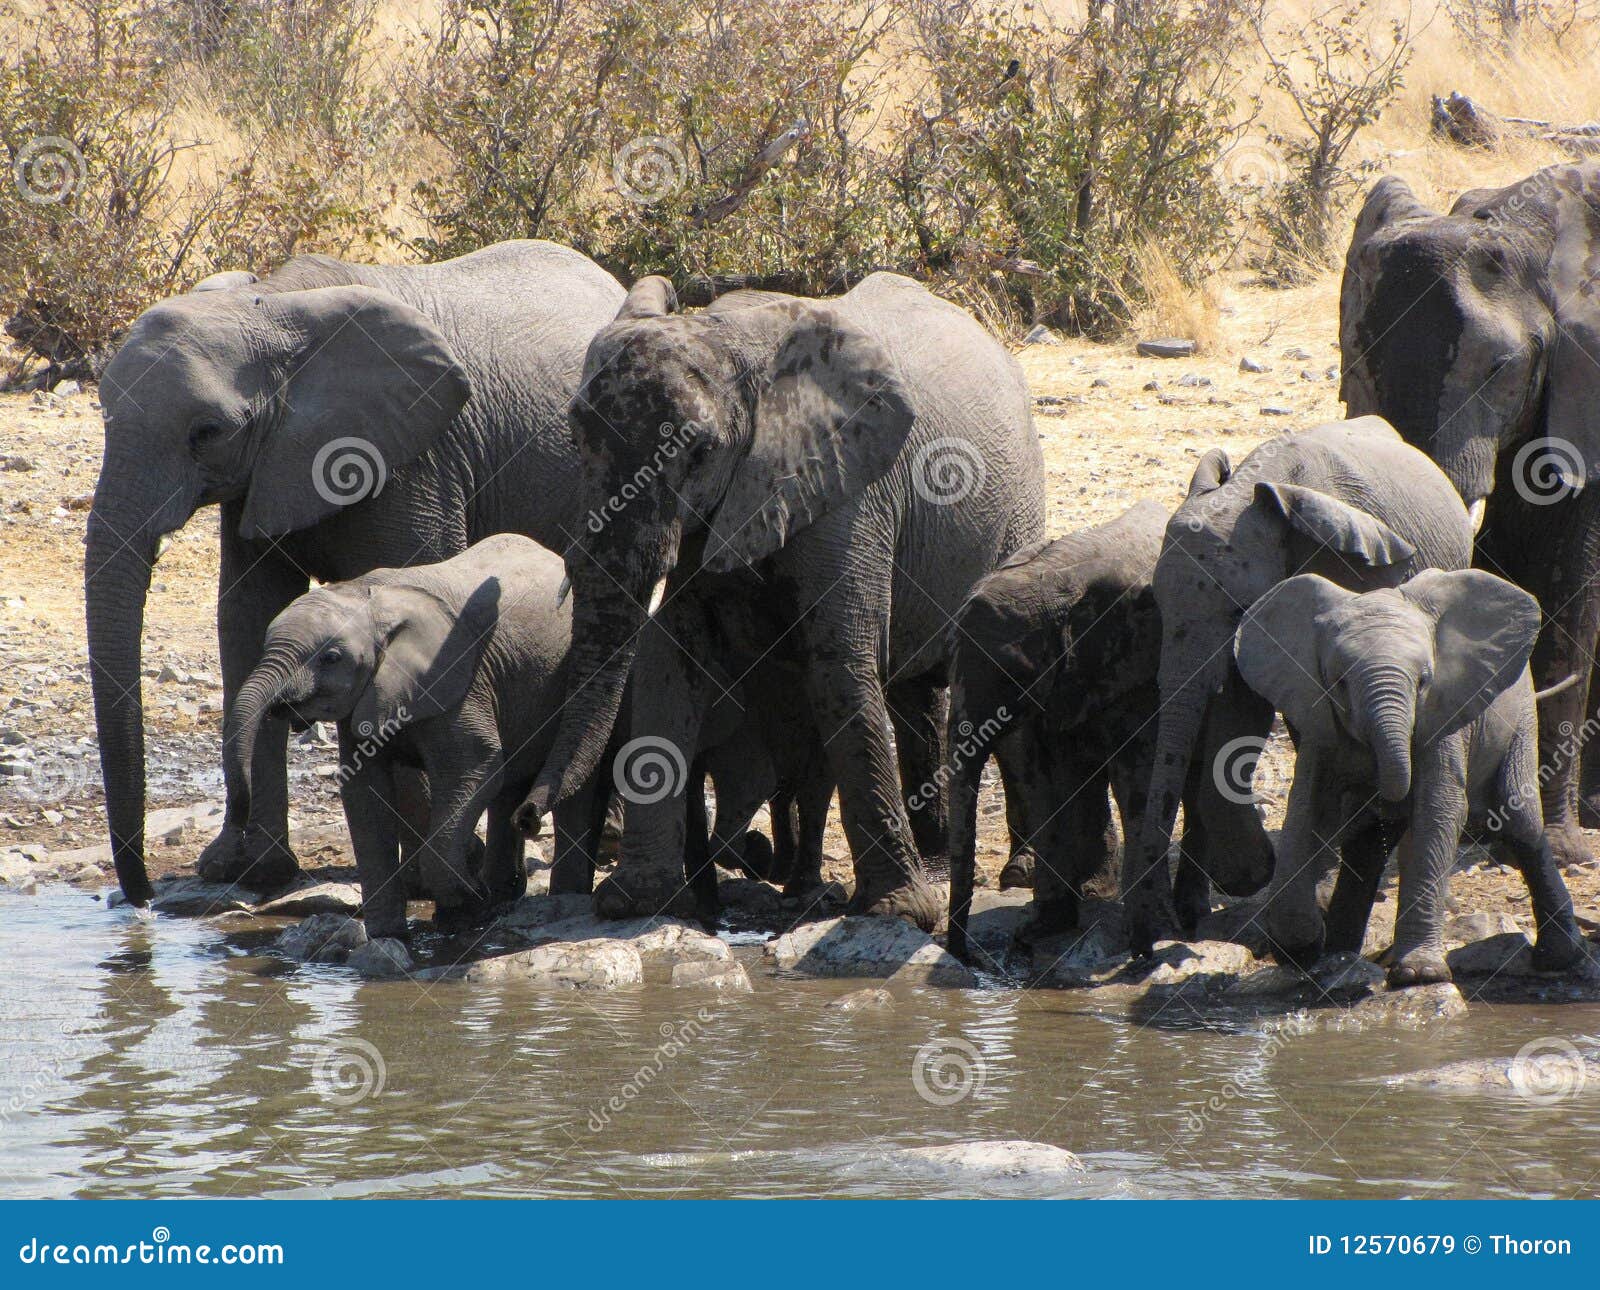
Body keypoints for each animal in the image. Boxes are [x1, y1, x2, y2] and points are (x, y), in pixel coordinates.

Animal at [223, 535, 616, 938]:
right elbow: (364, 794)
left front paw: (469, 905)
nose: (240, 811)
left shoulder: (458, 680)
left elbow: (476, 766)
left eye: (330, 658)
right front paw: (389, 936)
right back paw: (503, 893)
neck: (368, 599)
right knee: (510, 786)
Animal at [515, 273, 1047, 931]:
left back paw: (1016, 873)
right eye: (574, 435)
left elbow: (839, 666)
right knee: (914, 688)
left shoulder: (849, 492)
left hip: (1018, 517)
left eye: (698, 452)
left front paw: (895, 914)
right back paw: (928, 854)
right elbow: (672, 660)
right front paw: (634, 903)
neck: (726, 339)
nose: (525, 816)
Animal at [945, 501, 1273, 961]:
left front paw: (1148, 934)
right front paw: (1042, 929)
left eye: (1013, 675)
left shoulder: (1139, 669)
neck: (1052, 579)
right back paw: (1099, 894)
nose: (967, 956)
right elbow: (1048, 777)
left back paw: (1188, 917)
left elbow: (1136, 777)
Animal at [1120, 416, 1476, 956]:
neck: (1257, 488)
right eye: (1154, 602)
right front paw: (1251, 873)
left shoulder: (1358, 578)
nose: (1154, 936)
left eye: (1237, 610)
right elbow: (1239, 708)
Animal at [1236, 568, 1584, 985]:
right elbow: (1307, 811)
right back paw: (1340, 957)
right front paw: (1300, 949)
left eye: (1424, 681)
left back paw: (1558, 959)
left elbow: (1439, 811)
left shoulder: (1445, 715)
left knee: (1520, 819)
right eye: (1340, 683)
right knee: (1367, 845)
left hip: (1521, 717)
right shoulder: (1318, 719)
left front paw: (1420, 974)